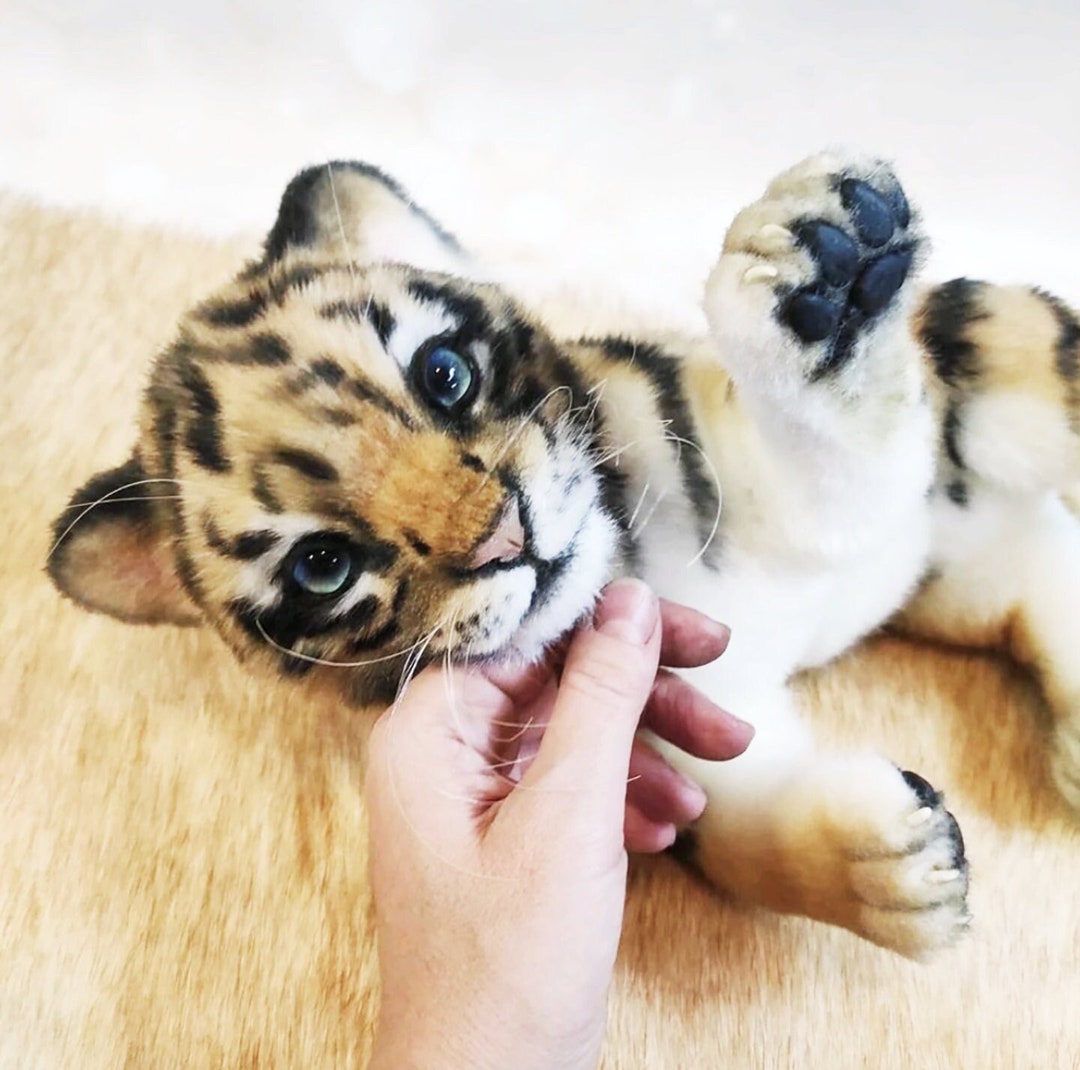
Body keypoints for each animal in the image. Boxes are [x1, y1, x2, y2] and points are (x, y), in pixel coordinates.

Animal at [45, 151, 1080, 960]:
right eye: (323, 565)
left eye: (444, 375)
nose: (507, 538)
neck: (632, 566)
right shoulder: (688, 731)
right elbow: (746, 833)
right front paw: (896, 873)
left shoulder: (801, 480)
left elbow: (831, 439)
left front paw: (818, 271)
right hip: (962, 577)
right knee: (1039, 560)